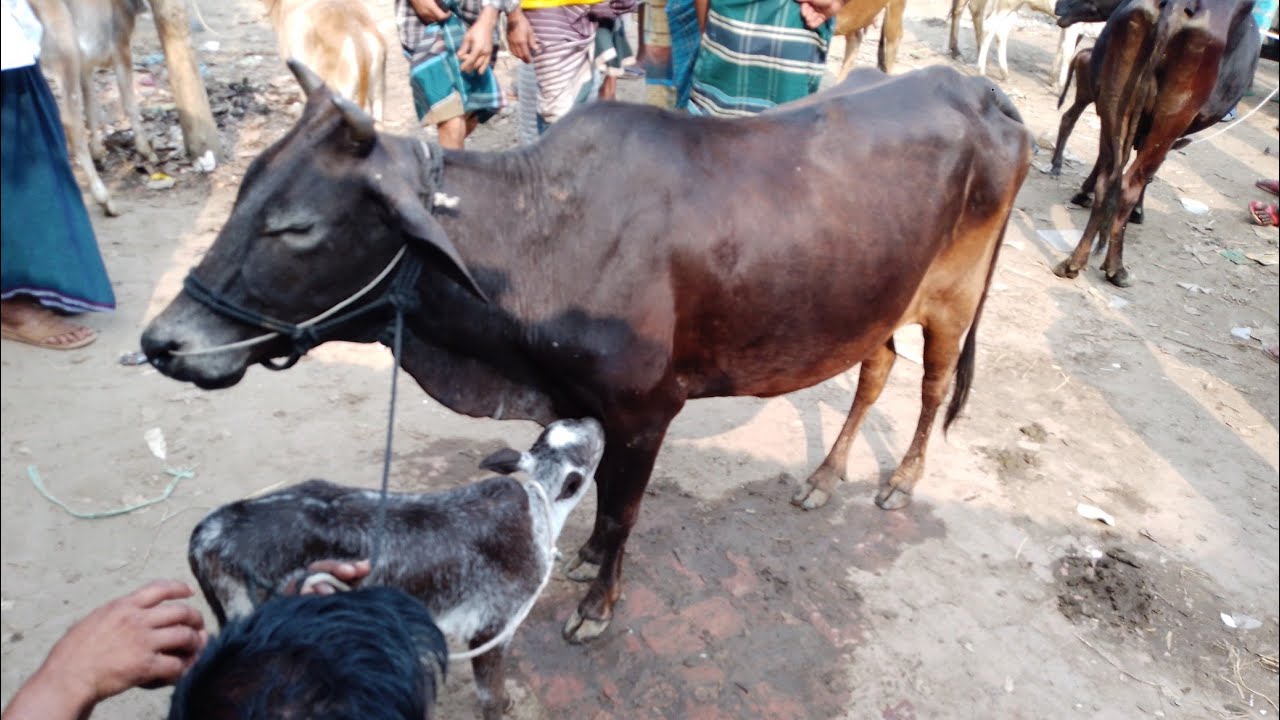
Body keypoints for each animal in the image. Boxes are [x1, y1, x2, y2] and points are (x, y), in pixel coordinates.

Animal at [140, 61, 1032, 644]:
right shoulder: (579, 402)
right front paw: (588, 560)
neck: (539, 234)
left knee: (934, 386)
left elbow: (625, 506)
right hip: (879, 298)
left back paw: (900, 481)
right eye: (244, 191)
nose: (161, 340)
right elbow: (599, 498)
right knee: (876, 369)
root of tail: (982, 90)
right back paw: (823, 477)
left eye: (296, 227)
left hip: (954, 293)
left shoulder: (648, 410)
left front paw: (597, 606)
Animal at [1051, 0, 1259, 285]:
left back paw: (1075, 261)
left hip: (1115, 104)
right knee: (1129, 184)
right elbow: (1148, 177)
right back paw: (1116, 268)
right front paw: (1137, 212)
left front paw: (1084, 193)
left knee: (1109, 177)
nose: (1058, 8)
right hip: (1169, 122)